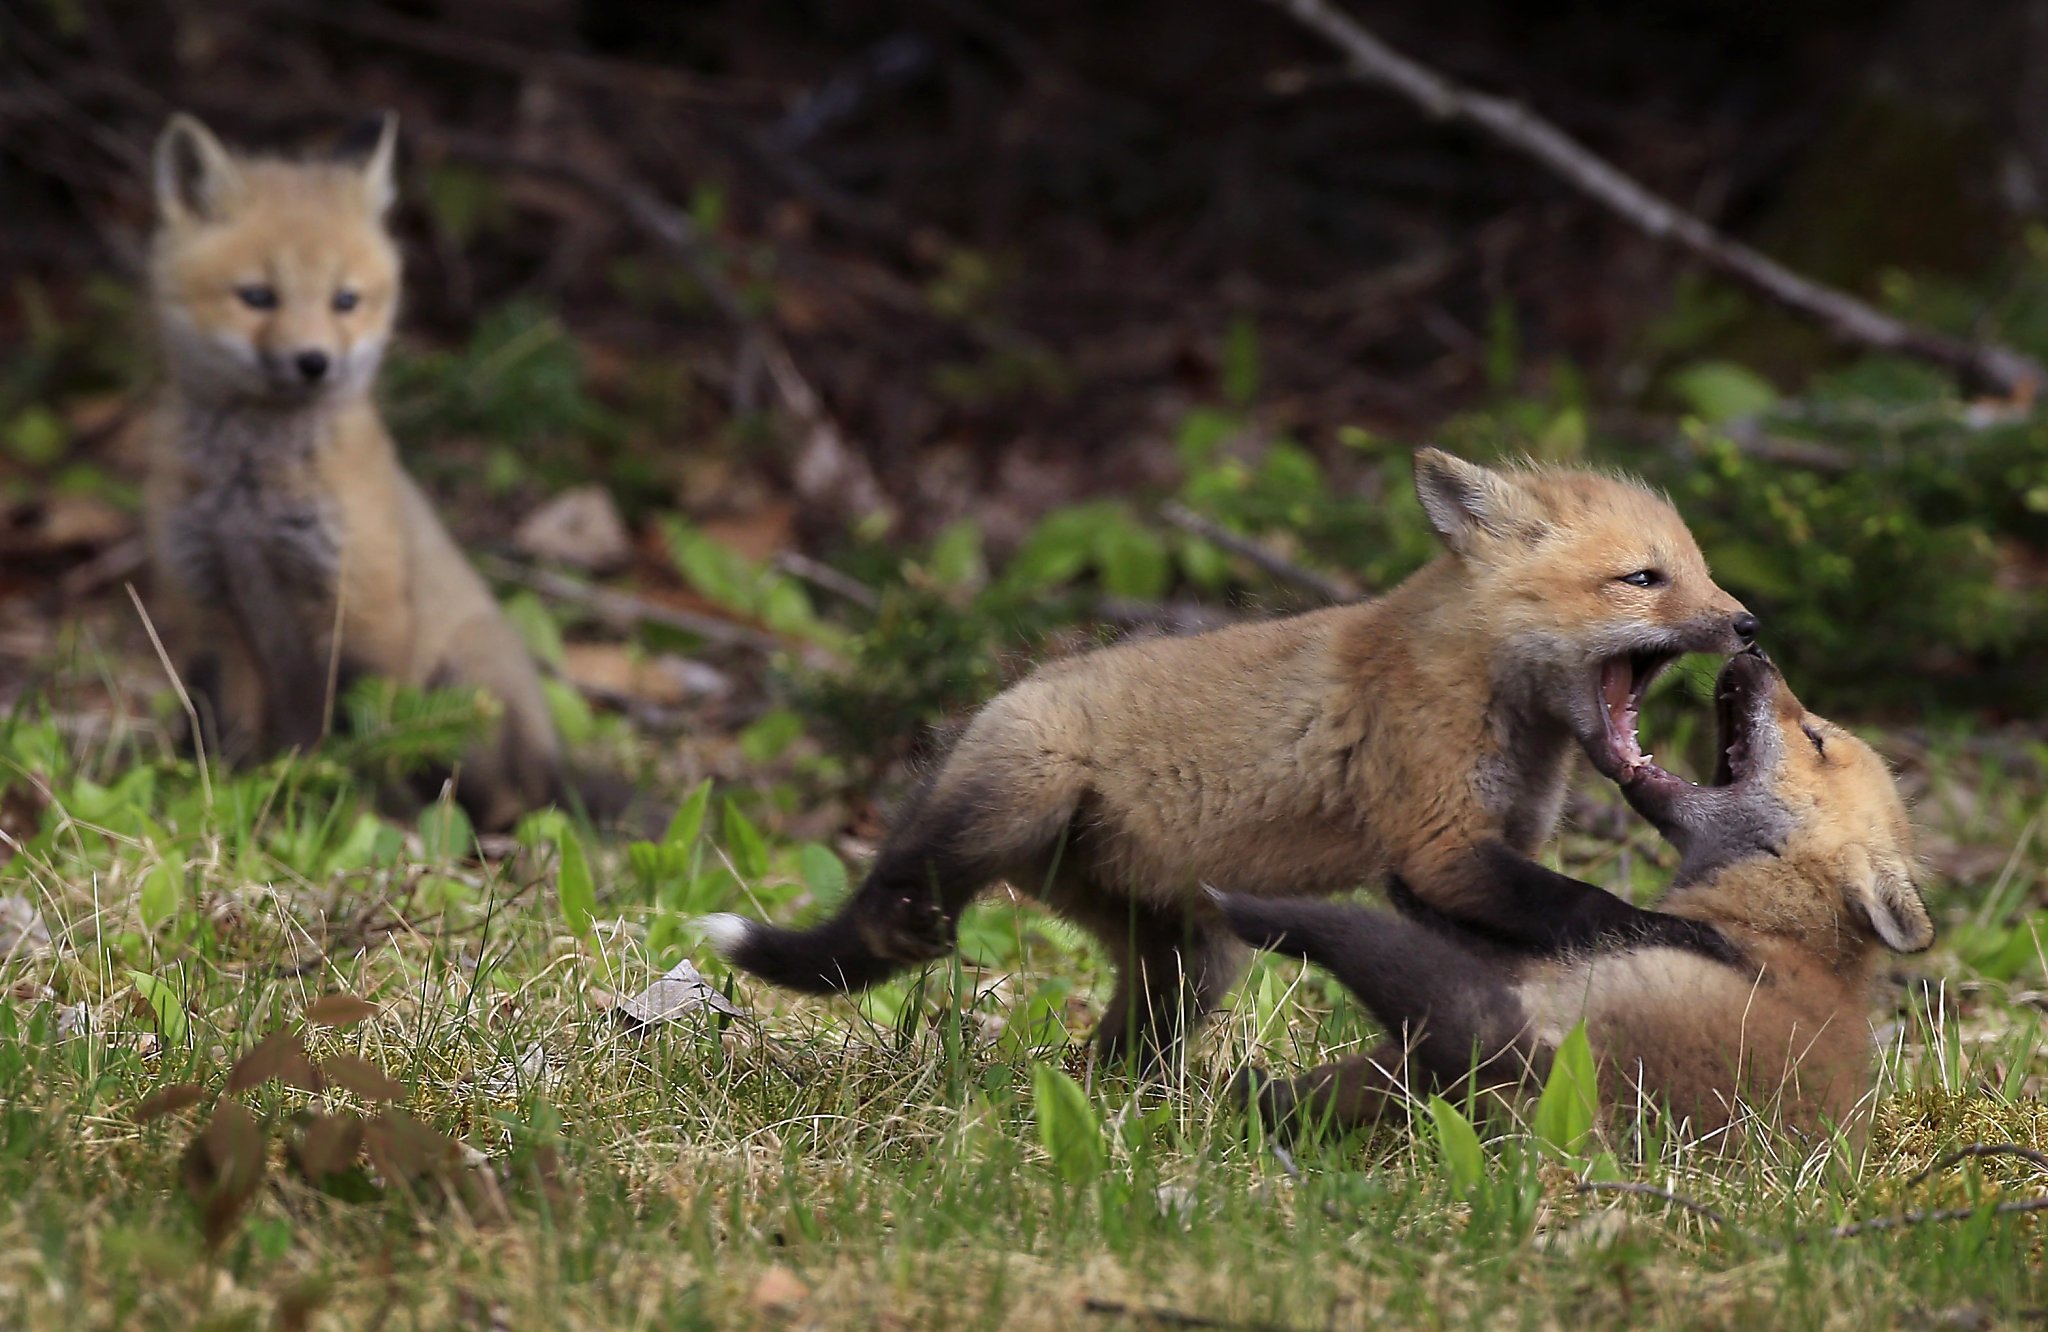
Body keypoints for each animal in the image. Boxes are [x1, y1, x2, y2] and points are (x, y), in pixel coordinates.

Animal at [140, 111, 567, 831]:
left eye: (346, 300)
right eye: (257, 297)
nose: (314, 362)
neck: (249, 504)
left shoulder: (359, 603)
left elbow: (361, 733)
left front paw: (354, 810)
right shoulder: (211, 607)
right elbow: (221, 731)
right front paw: (216, 796)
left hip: (466, 685)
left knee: (503, 794)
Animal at [704, 449, 1758, 1065]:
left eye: (1701, 573)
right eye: (1642, 579)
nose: (1749, 624)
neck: (1483, 689)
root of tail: (997, 699)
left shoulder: (1455, 868)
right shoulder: (1439, 842)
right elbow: (1588, 904)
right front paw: (1689, 941)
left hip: (1188, 960)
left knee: (1121, 1045)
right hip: (1017, 801)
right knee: (895, 891)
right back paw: (902, 929)